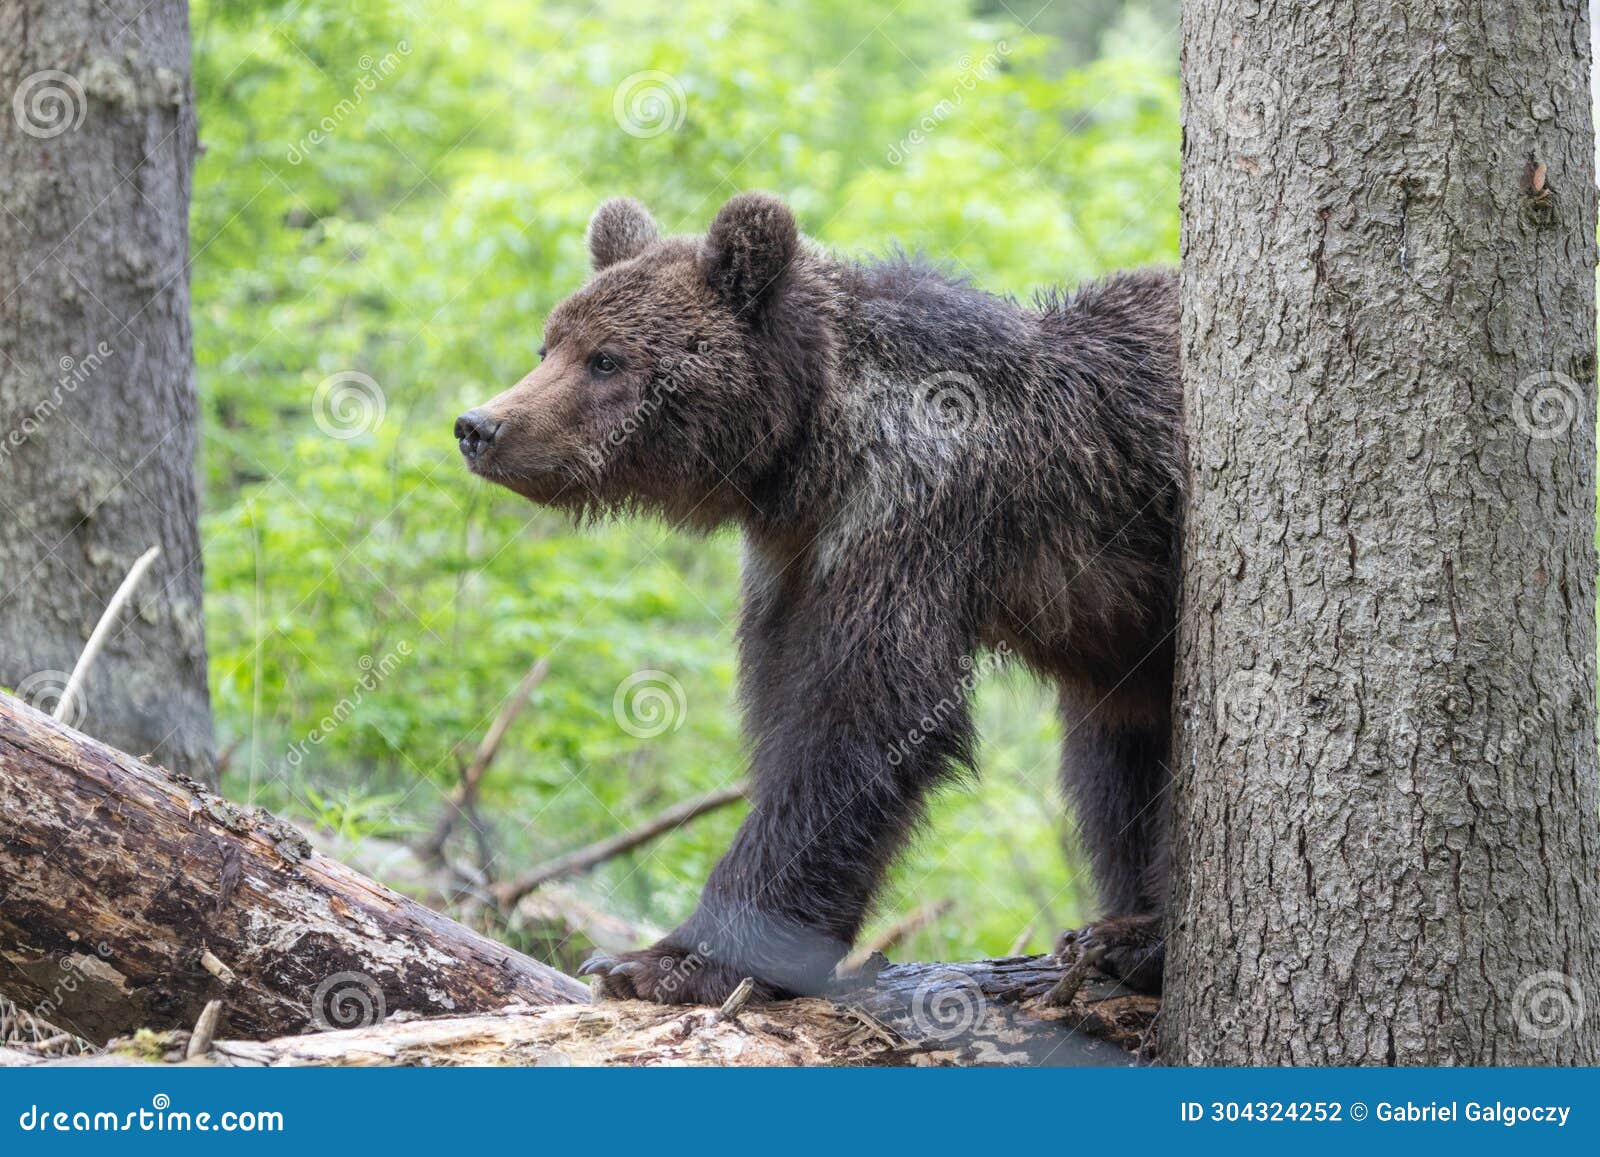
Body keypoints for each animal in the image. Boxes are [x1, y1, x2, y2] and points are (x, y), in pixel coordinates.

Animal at [456, 192, 1182, 1004]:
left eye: (605, 358)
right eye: (548, 345)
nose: (480, 425)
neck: (813, 451)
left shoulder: (915, 515)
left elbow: (856, 722)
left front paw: (668, 960)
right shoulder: (796, 557)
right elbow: (785, 699)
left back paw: (1133, 939)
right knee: (1116, 765)